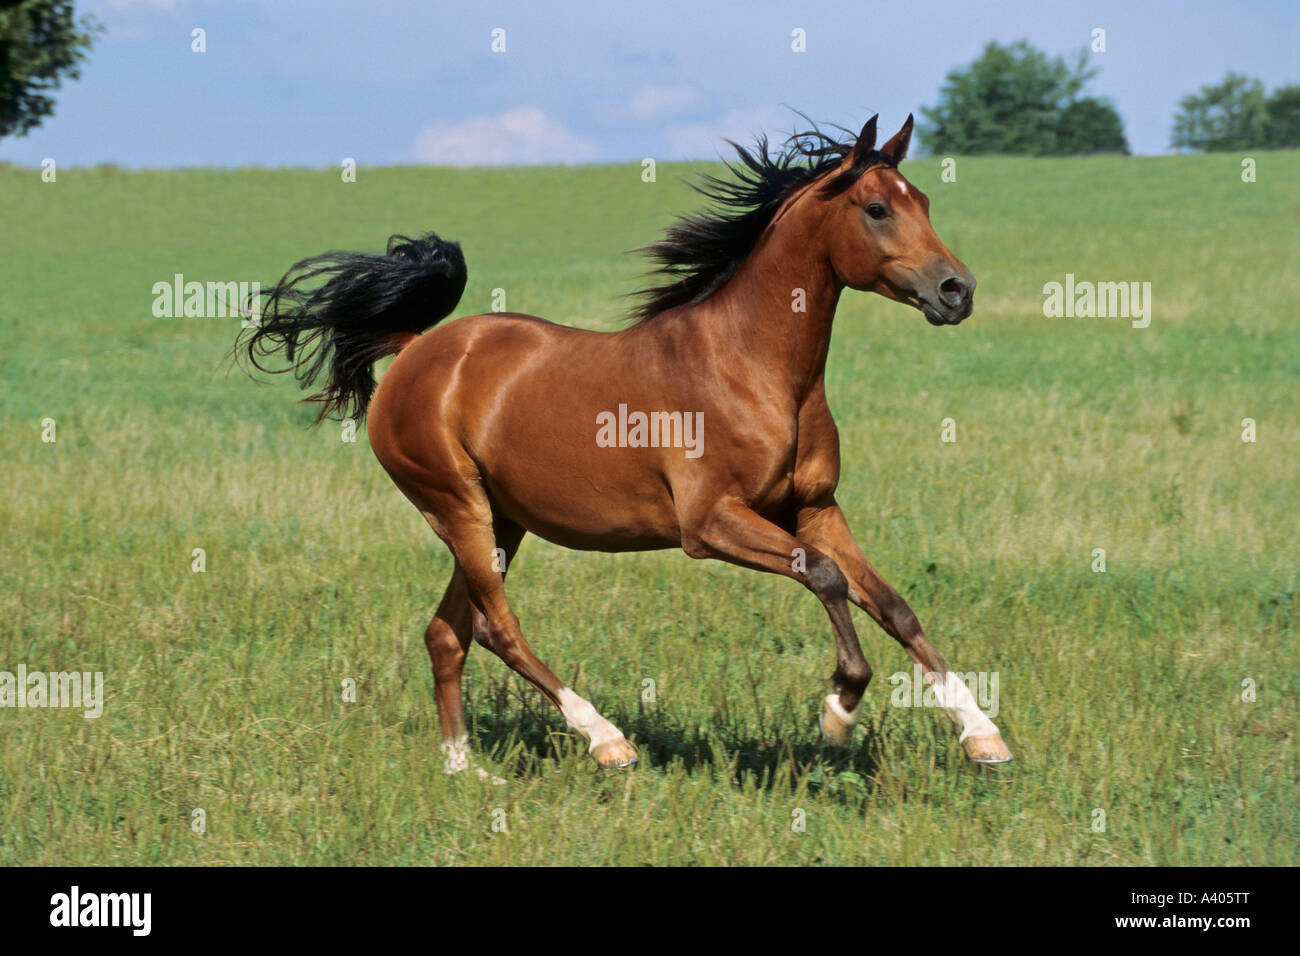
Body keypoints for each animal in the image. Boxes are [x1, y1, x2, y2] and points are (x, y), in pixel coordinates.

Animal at [239, 113, 1013, 772]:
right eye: (877, 209)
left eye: (924, 203)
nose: (957, 290)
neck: (754, 367)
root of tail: (415, 348)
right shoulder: (710, 523)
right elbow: (823, 577)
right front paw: (838, 710)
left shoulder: (816, 508)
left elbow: (892, 604)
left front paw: (983, 736)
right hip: (456, 506)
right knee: (497, 628)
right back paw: (606, 741)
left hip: (502, 519)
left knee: (450, 633)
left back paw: (465, 769)